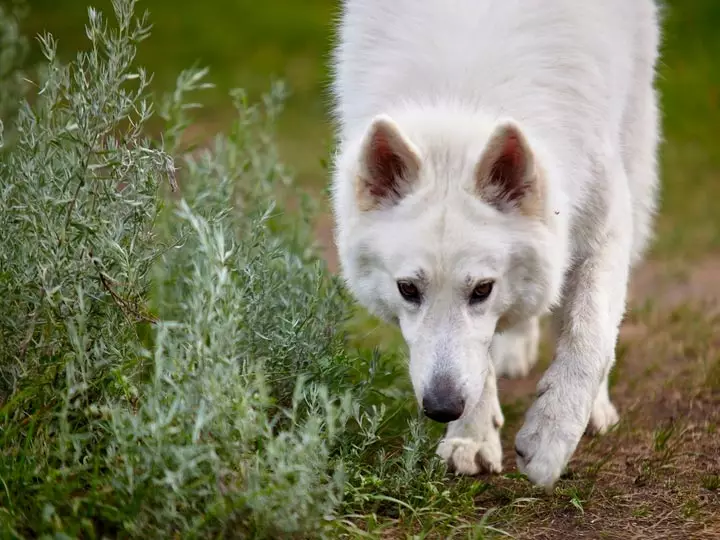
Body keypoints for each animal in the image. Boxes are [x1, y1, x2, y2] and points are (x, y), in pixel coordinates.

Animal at [330, 0, 660, 490]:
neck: (463, 100)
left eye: (482, 290)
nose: (441, 408)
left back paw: (595, 408)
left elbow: (590, 336)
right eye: (408, 290)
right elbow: (478, 361)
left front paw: (550, 437)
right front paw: (472, 437)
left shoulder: (604, 227)